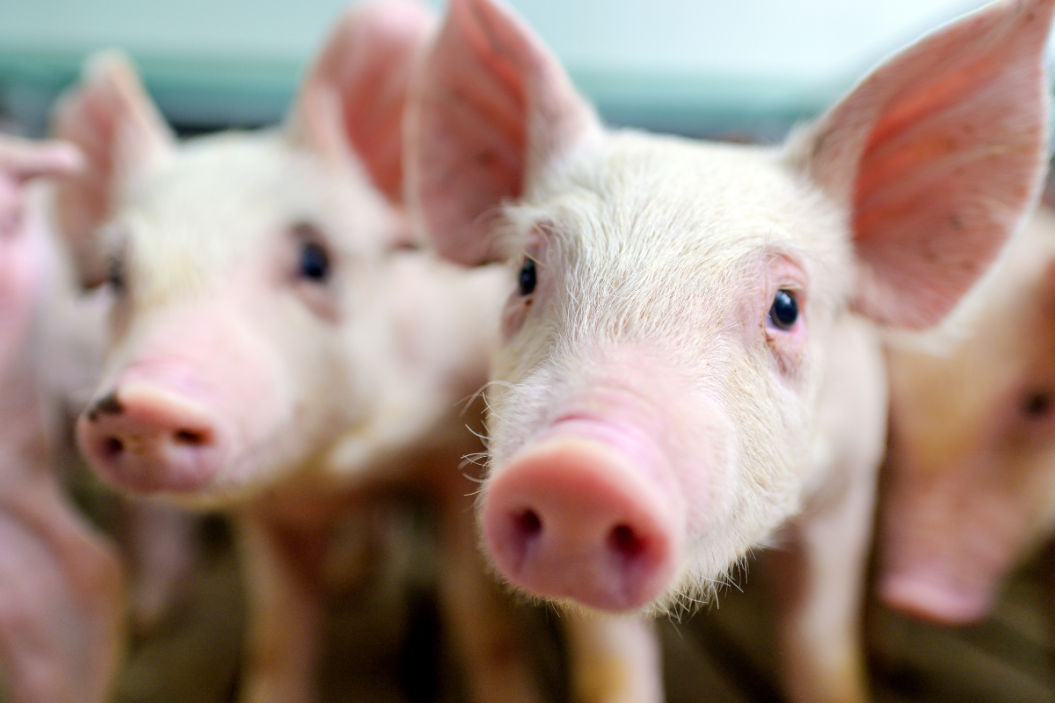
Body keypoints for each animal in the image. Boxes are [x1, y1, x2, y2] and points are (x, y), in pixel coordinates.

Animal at [49, 1, 655, 701]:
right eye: (116, 276)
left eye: (316, 260)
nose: (140, 402)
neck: (334, 465)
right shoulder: (263, 512)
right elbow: (279, 626)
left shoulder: (449, 456)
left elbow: (475, 610)